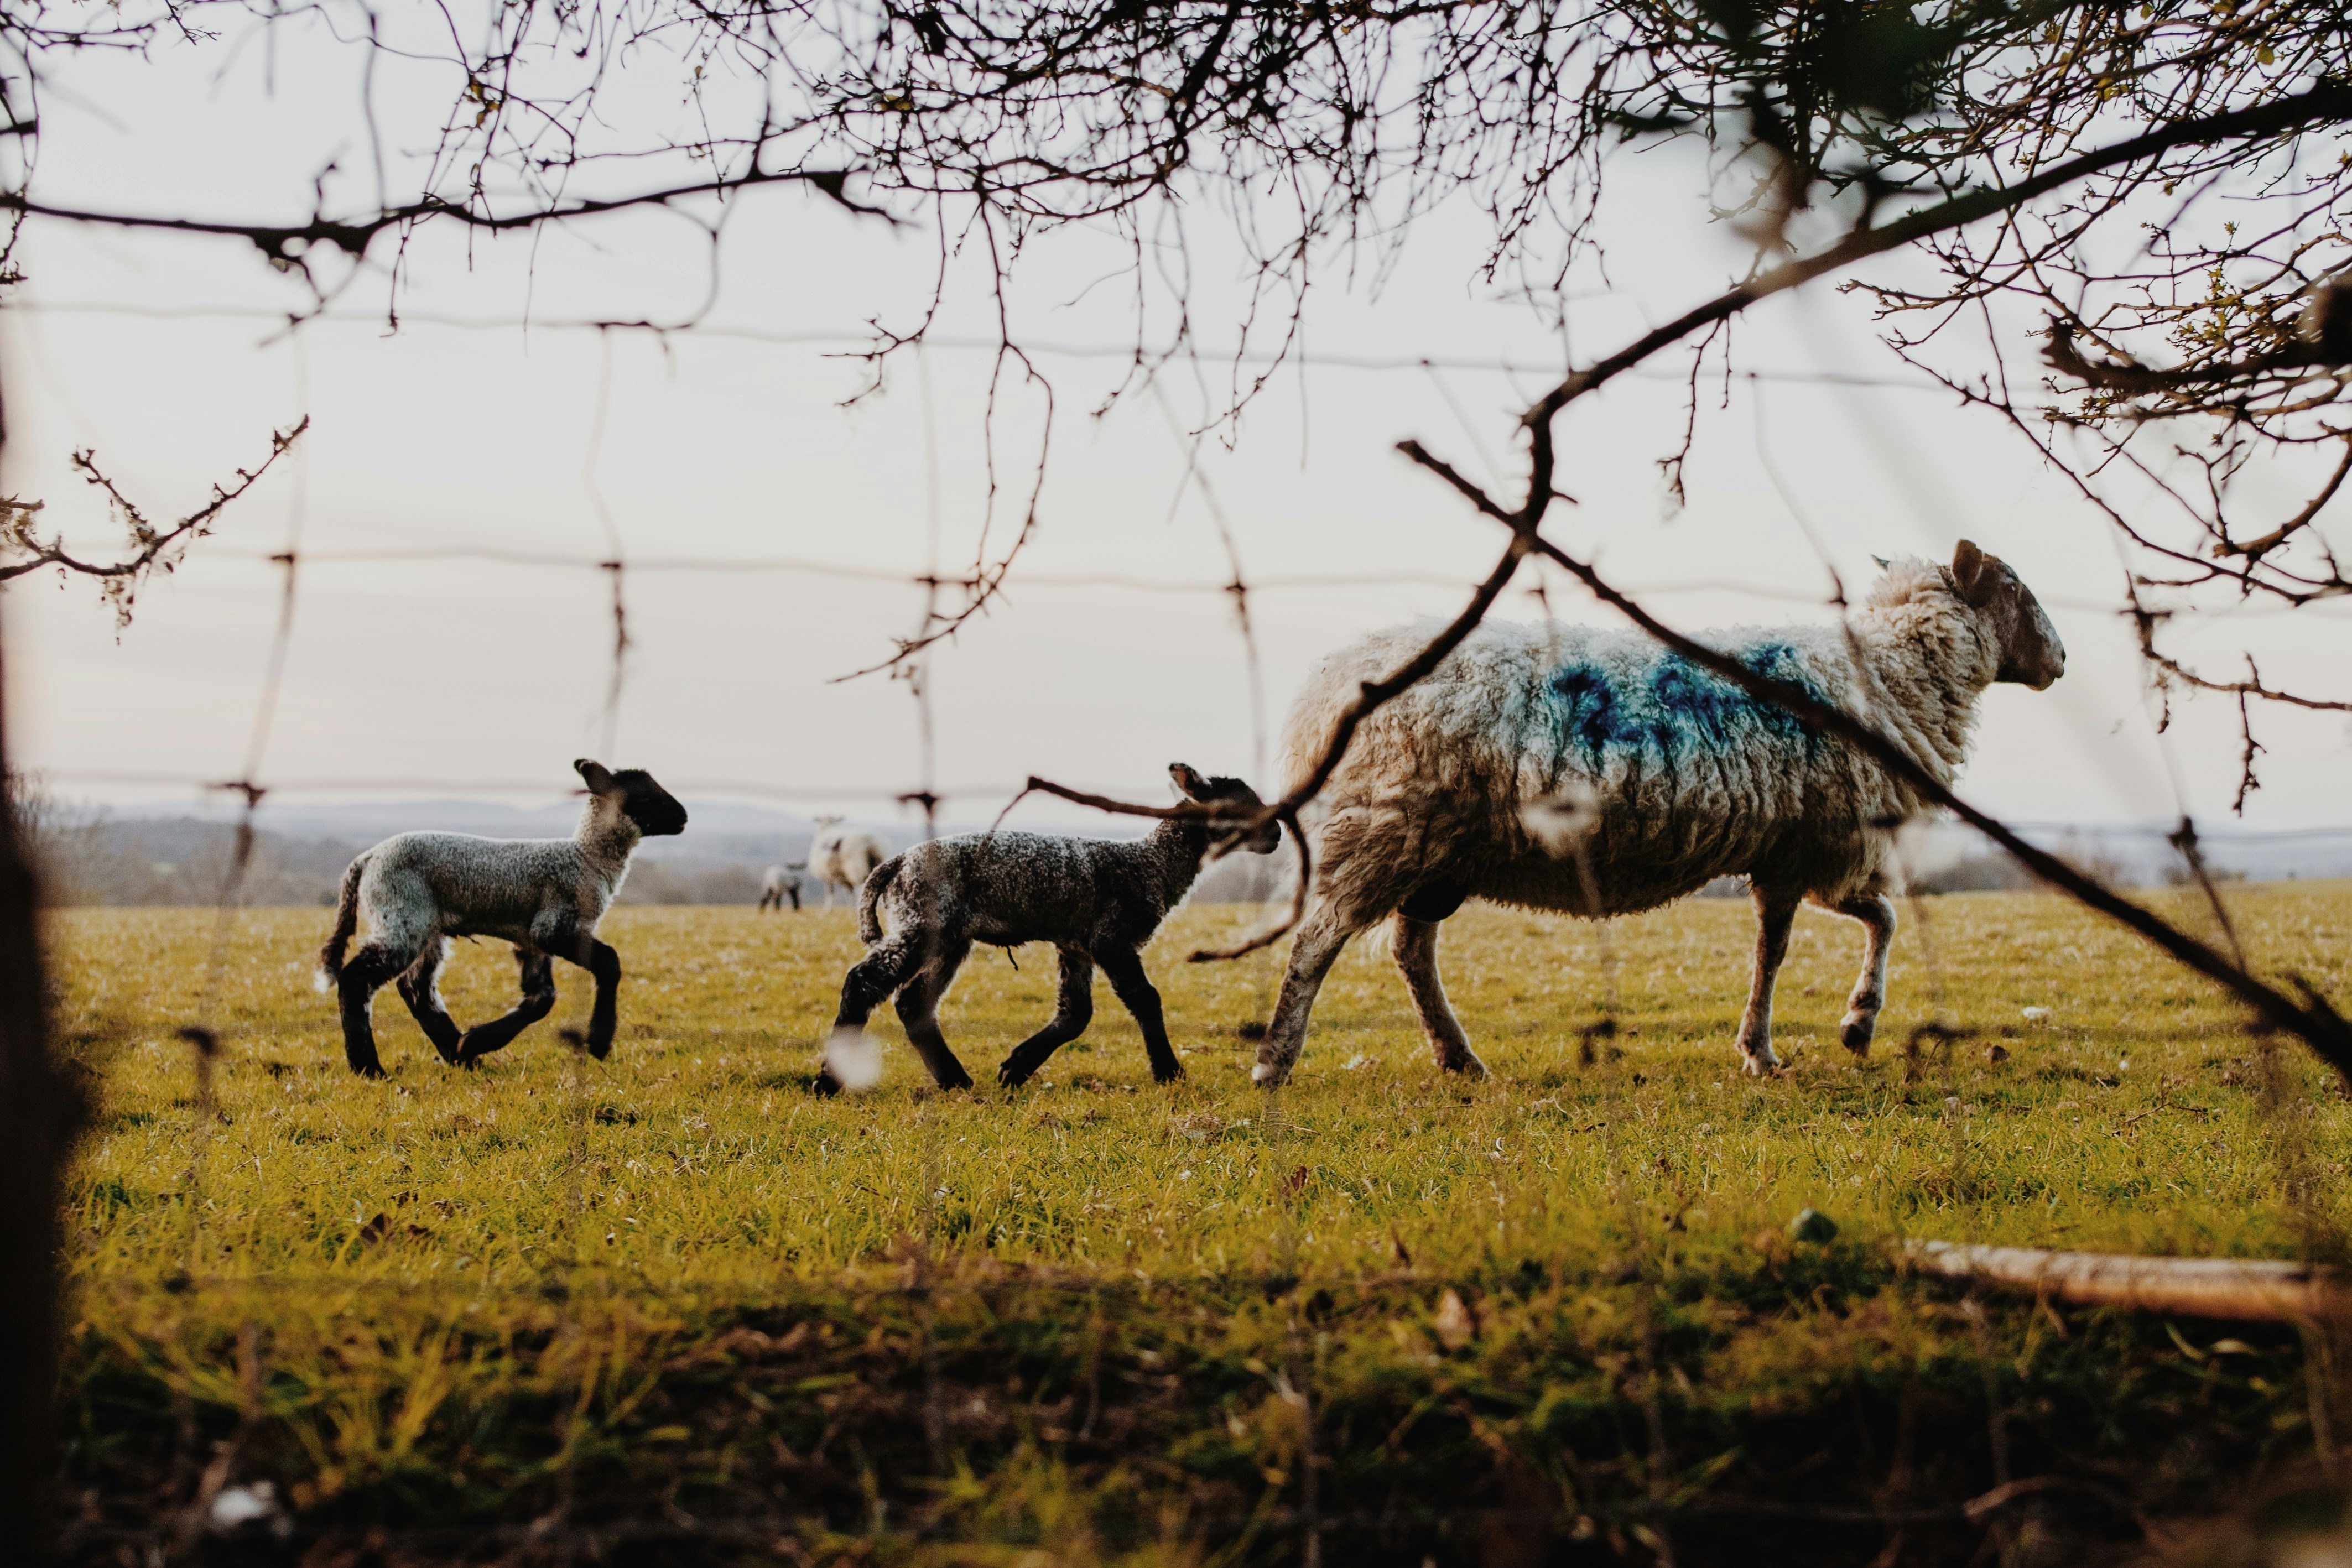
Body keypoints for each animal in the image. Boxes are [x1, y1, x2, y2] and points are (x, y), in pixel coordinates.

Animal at [315, 760, 688, 1077]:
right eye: (642, 795)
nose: (683, 816)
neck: (587, 858)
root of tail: (367, 859)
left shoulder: (532, 939)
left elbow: (541, 998)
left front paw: (476, 1041)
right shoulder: (554, 925)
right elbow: (609, 963)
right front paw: (598, 1043)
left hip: (425, 925)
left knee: (416, 988)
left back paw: (461, 1055)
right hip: (401, 913)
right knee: (356, 980)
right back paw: (369, 1069)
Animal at [808, 817, 889, 907]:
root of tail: (872, 842)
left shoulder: (827, 875)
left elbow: (829, 892)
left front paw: (828, 908)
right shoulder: (845, 877)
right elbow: (849, 892)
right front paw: (850, 907)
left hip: (856, 867)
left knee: (860, 889)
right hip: (879, 861)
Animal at [820, 763, 1282, 1093]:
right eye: (1238, 802)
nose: (1278, 833)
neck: (1152, 863)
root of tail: (896, 862)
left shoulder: (1077, 941)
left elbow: (1076, 1013)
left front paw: (1015, 1067)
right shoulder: (1111, 936)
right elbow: (1146, 999)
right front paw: (1170, 1072)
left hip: (947, 936)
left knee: (913, 1003)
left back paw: (956, 1080)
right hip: (922, 920)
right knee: (863, 981)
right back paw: (827, 1081)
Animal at [1252, 541, 2065, 1085]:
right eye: (2013, 586)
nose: (2059, 661)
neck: (1893, 676)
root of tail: (1326, 689)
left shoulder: (1794, 852)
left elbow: (1835, 931)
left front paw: (1813, 1036)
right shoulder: (1819, 844)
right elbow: (1828, 936)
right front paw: (1820, 1034)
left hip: (1435, 852)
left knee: (1409, 951)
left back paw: (1460, 1059)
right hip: (1385, 830)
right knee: (1317, 943)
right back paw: (1273, 1063)